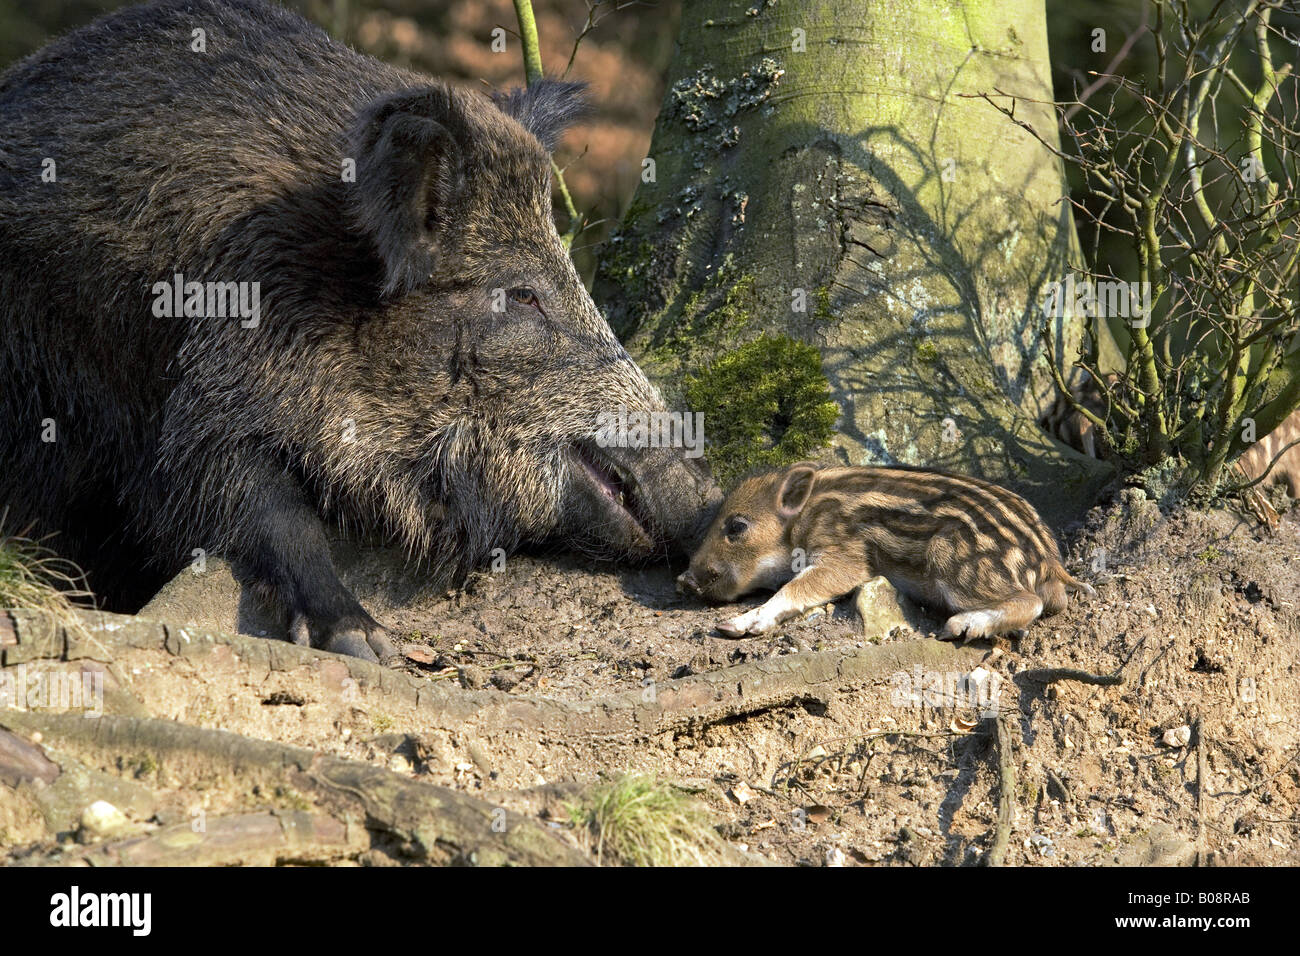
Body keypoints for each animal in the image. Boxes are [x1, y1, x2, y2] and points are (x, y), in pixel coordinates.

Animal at [678, 463, 1092, 639]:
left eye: (736, 527)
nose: (685, 580)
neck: (805, 517)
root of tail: (1049, 561)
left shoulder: (845, 557)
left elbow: (795, 588)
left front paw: (735, 627)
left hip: (954, 563)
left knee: (1029, 602)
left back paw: (962, 627)